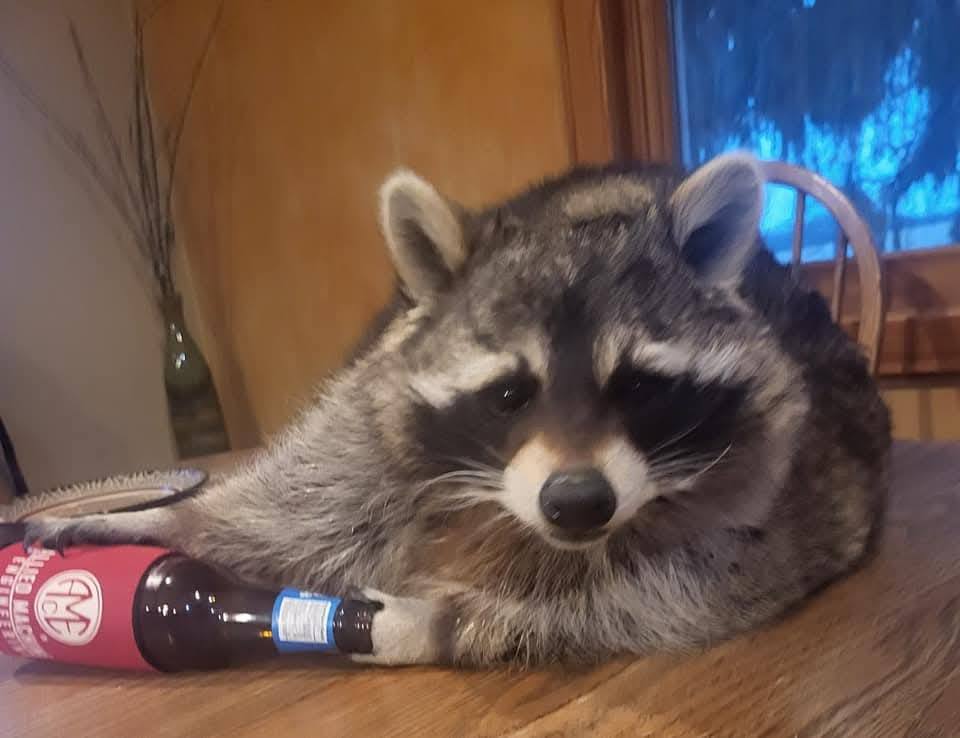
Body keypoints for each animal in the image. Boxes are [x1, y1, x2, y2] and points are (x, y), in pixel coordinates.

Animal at [24, 152, 890, 667]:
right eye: (510, 393)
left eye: (638, 388)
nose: (579, 502)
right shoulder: (375, 417)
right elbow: (301, 506)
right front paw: (166, 518)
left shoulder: (766, 493)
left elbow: (665, 592)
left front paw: (429, 622)